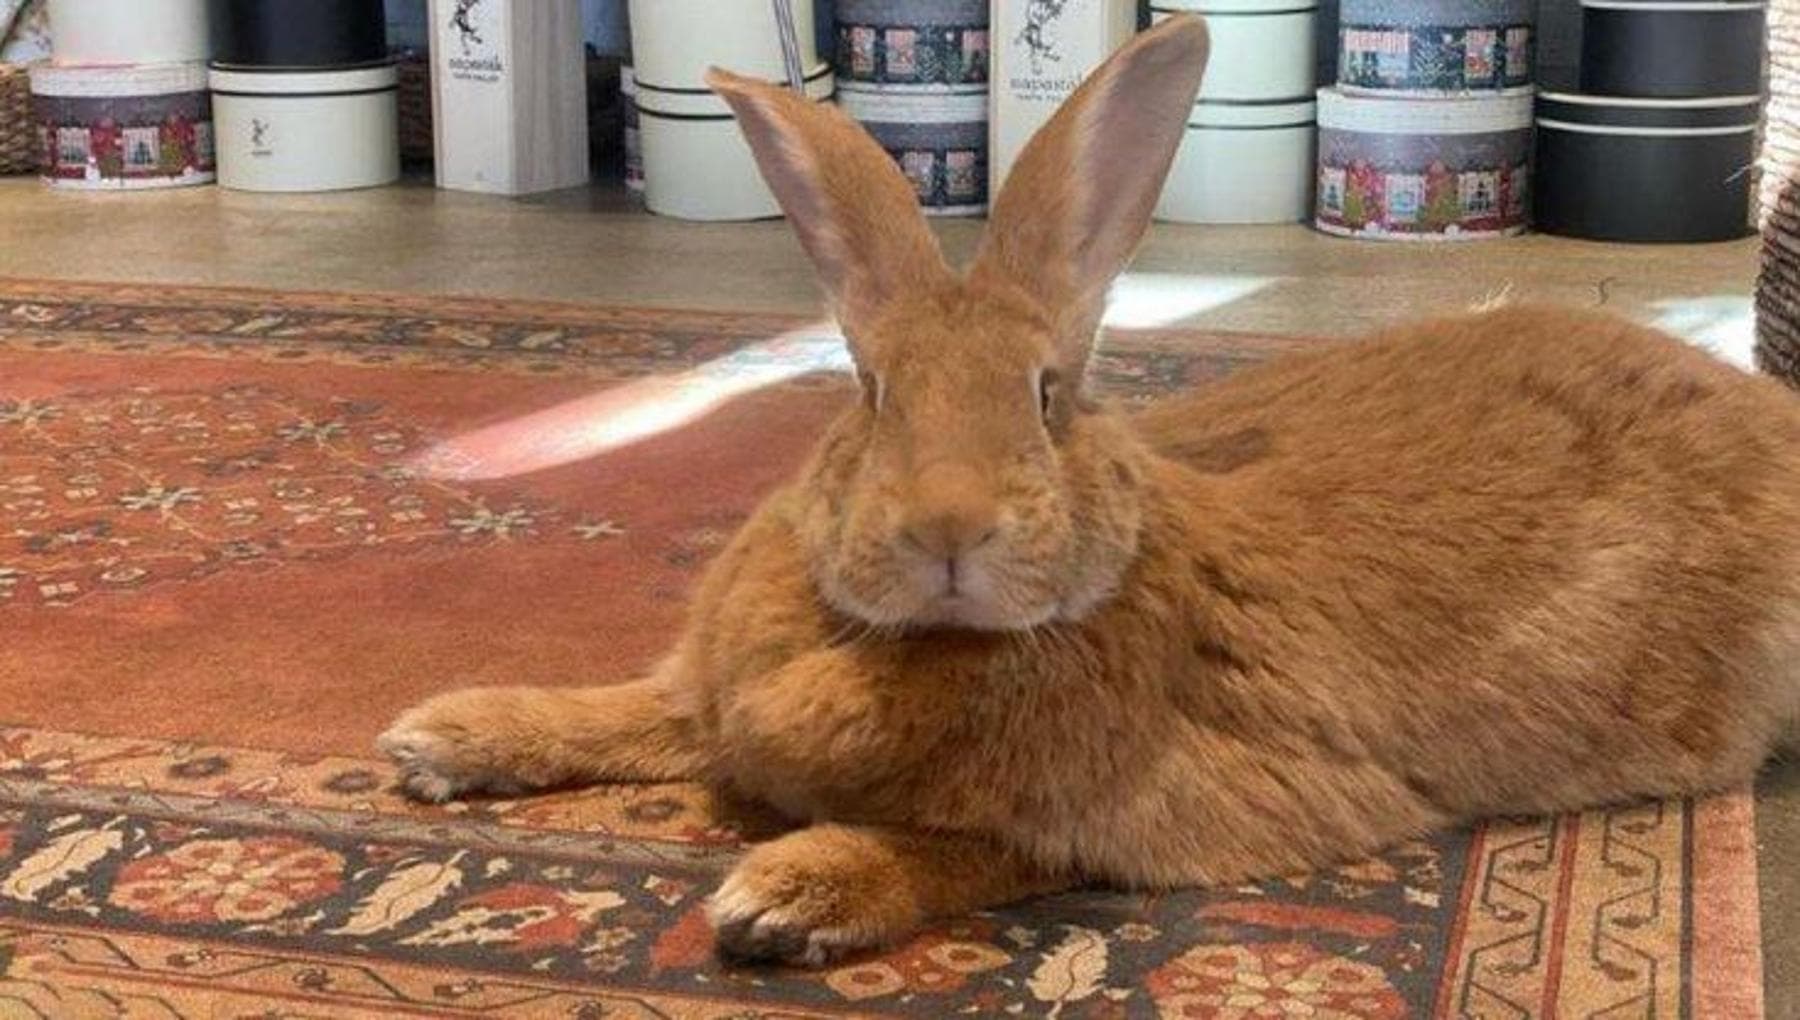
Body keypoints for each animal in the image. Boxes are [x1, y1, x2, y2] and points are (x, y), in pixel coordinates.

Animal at [378, 14, 1800, 967]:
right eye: (870, 390)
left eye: (1049, 395)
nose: (950, 528)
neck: (909, 640)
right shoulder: (706, 695)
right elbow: (627, 708)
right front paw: (440, 738)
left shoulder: (1151, 811)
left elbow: (968, 853)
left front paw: (788, 893)